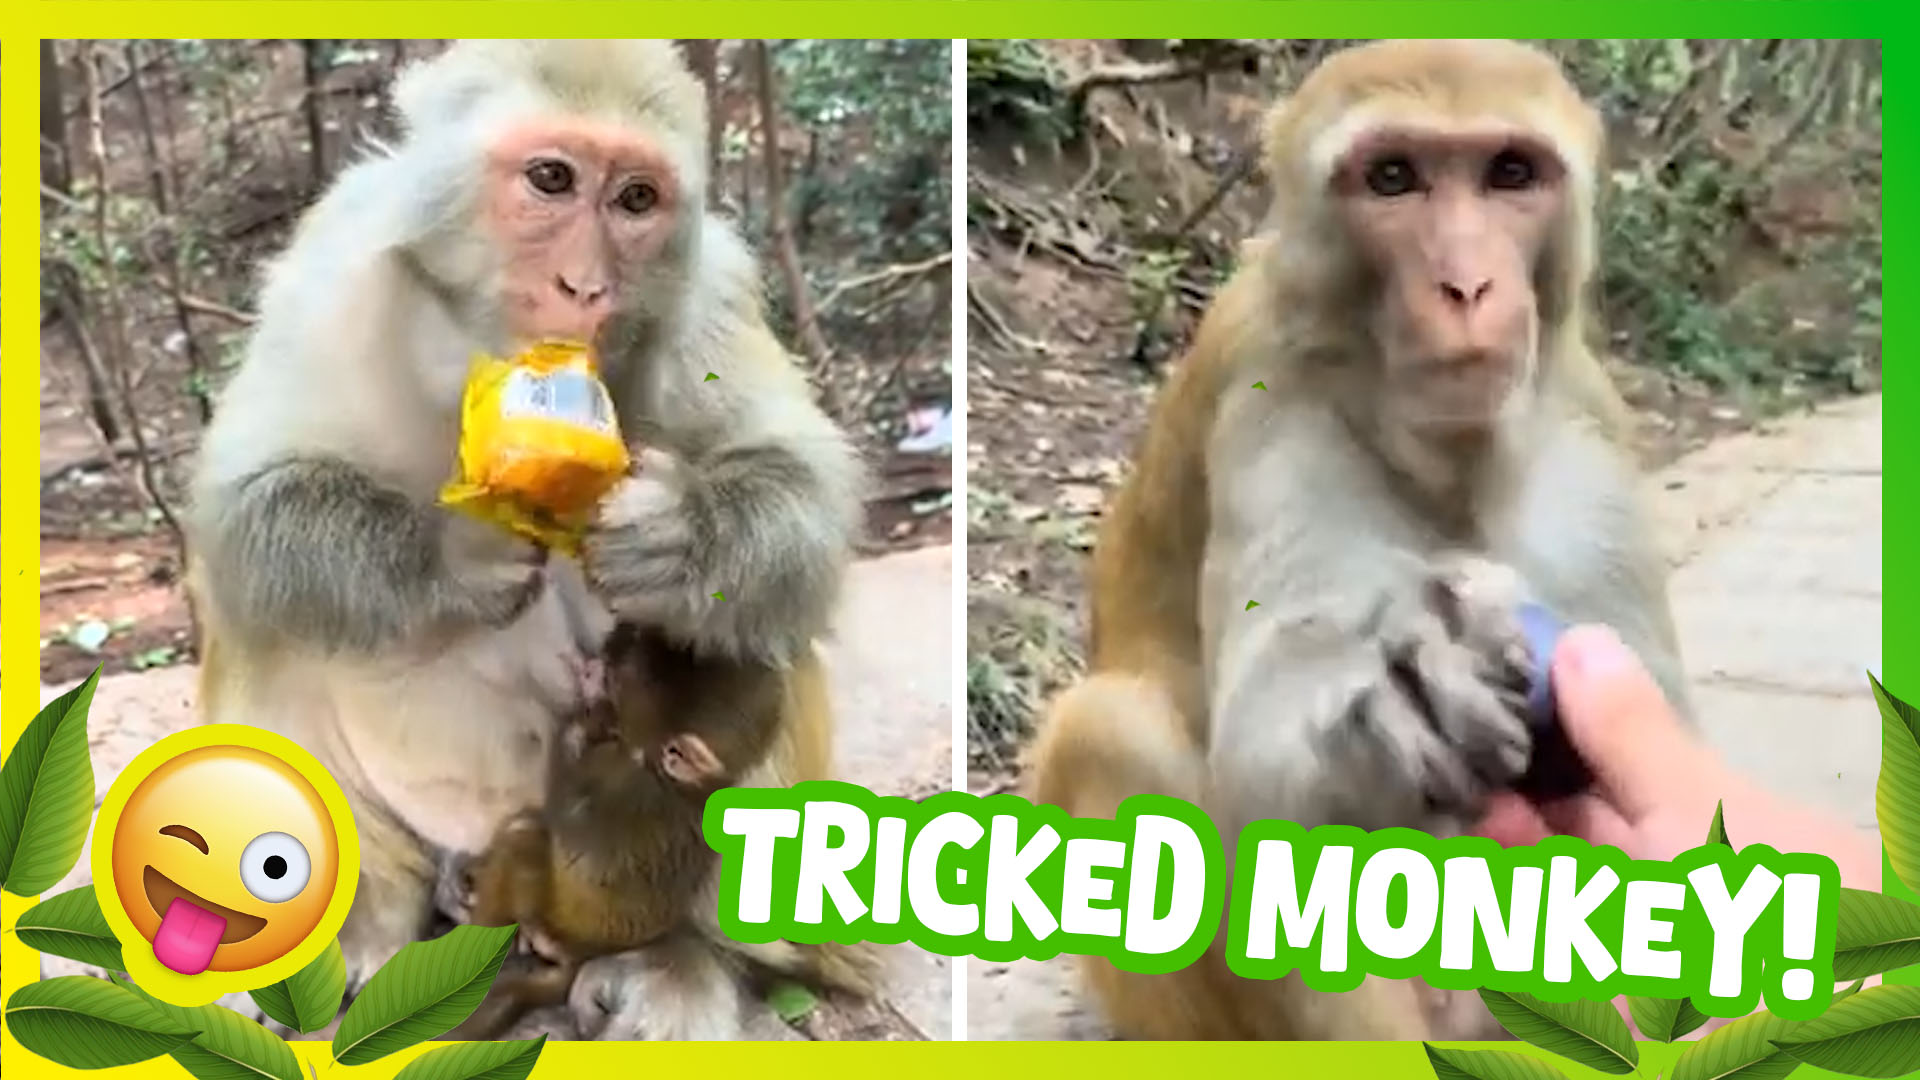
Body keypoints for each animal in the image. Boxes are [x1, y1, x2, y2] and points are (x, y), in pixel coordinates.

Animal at [183, 40, 873, 1039]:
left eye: (636, 199)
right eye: (552, 179)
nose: (584, 286)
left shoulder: (712, 288)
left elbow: (797, 481)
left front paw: (676, 540)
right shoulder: (334, 256)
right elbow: (246, 496)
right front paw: (451, 558)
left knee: (756, 629)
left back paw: (678, 960)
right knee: (266, 616)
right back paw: (355, 928)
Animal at [1025, 39, 1690, 1041]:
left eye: (1510, 174)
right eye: (1392, 178)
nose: (1467, 286)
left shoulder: (1586, 420)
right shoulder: (1267, 392)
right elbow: (1267, 763)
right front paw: (1404, 695)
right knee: (1104, 729)